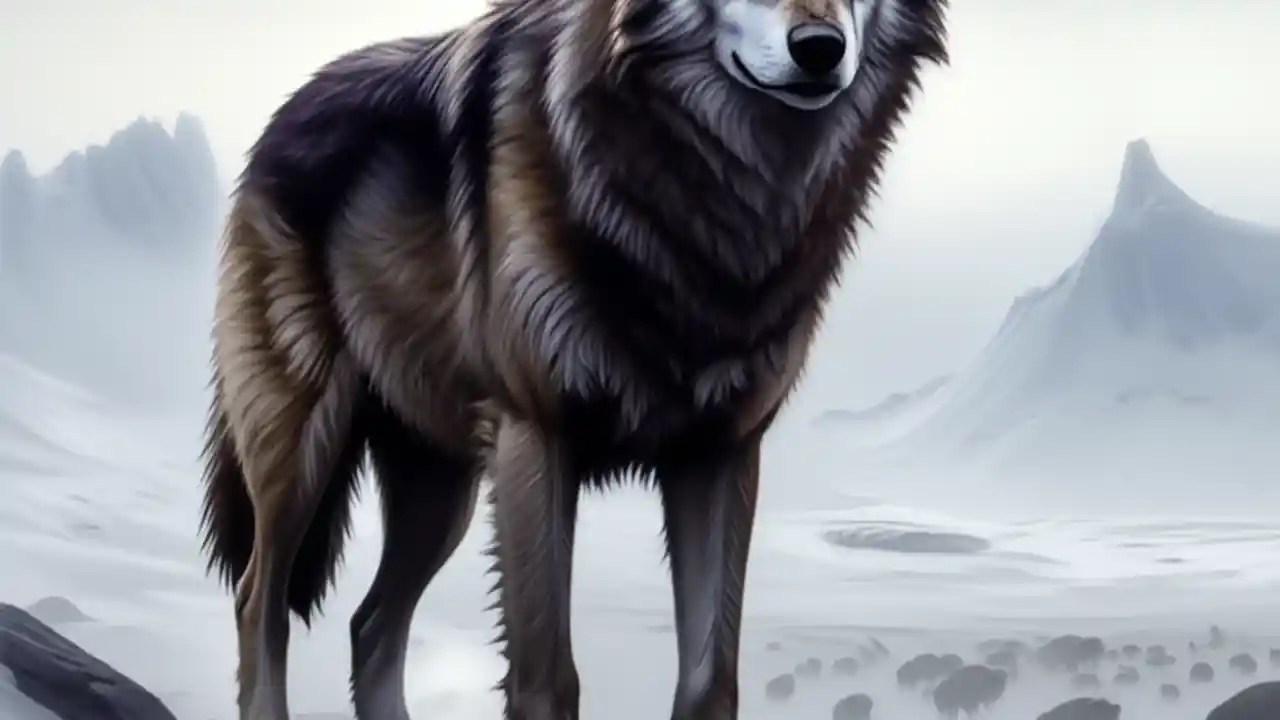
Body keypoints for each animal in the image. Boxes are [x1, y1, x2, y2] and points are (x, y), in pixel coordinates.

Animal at [199, 0, 948, 718]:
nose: (820, 49)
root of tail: (288, 108)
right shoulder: (535, 437)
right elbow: (546, 677)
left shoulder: (720, 452)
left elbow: (710, 678)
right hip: (302, 450)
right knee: (259, 600)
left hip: (442, 489)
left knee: (372, 624)